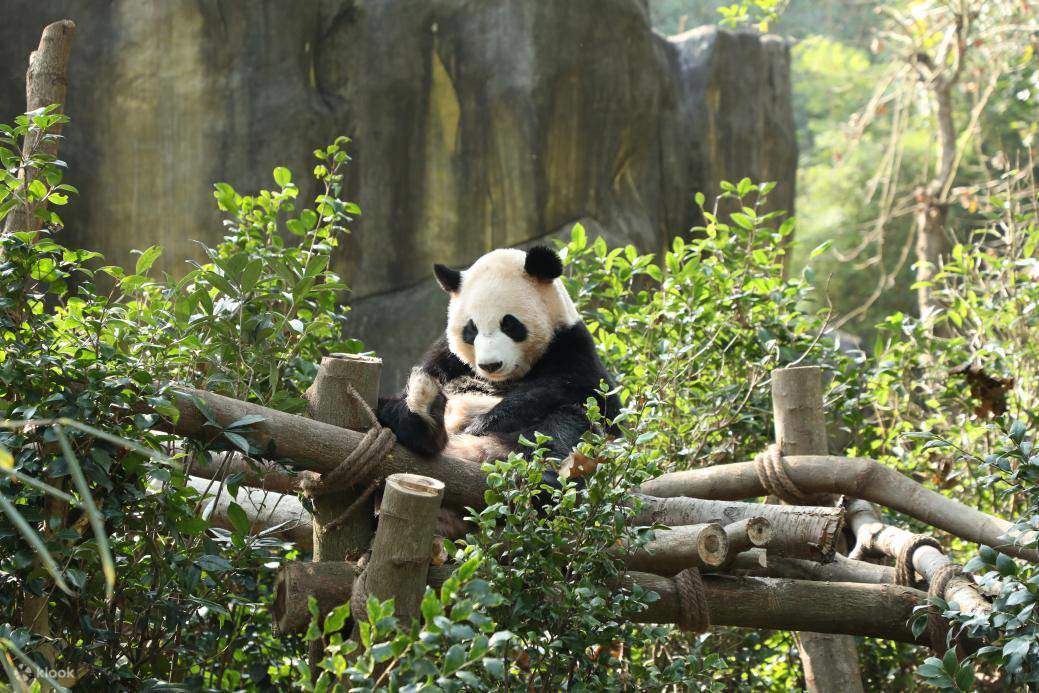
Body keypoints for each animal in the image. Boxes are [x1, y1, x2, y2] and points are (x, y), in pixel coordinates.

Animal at [377, 245, 620, 483]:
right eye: (471, 329)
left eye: (509, 324)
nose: (490, 365)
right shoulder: (446, 357)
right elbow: (419, 380)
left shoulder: (573, 349)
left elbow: (583, 396)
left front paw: (481, 423)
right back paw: (423, 416)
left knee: (567, 425)